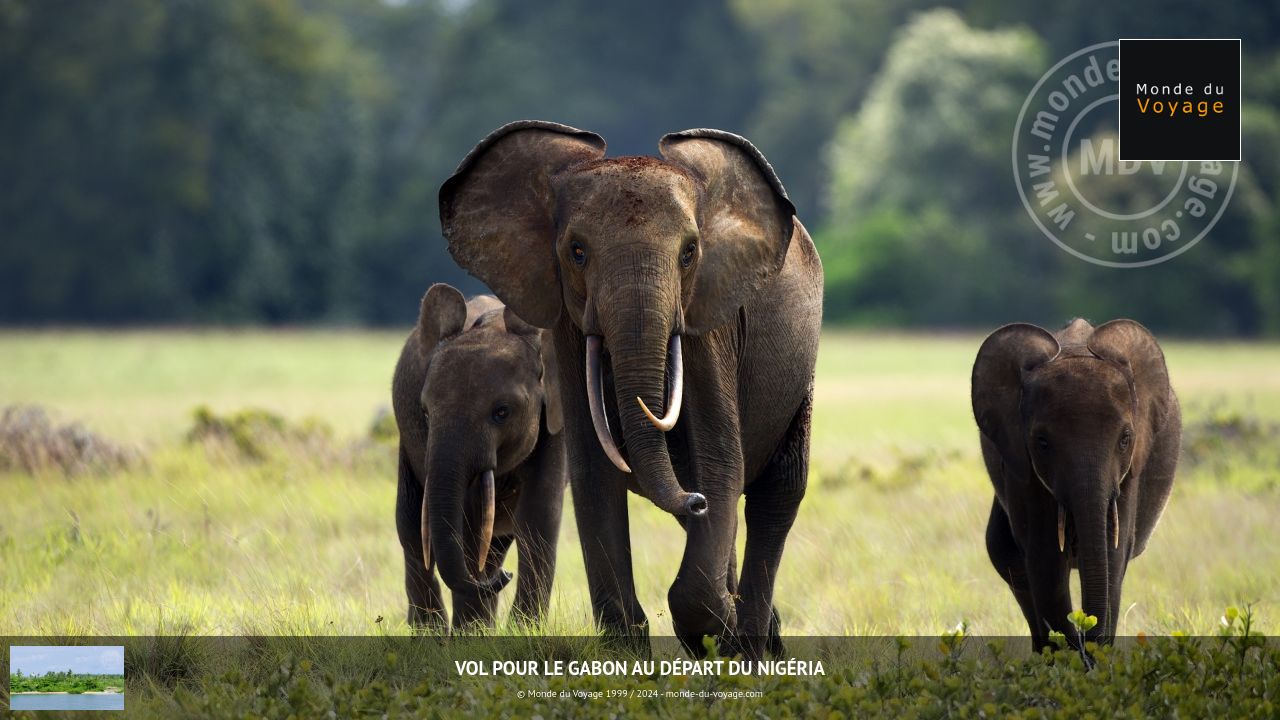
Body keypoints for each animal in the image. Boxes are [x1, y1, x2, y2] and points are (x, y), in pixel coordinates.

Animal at [389, 280, 565, 627]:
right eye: (426, 413)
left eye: (502, 412)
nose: (505, 577)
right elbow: (466, 520)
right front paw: (472, 631)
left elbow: (538, 514)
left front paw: (523, 629)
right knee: (411, 522)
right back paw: (430, 629)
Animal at [437, 119, 819, 655]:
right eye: (577, 252)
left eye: (689, 253)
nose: (695, 500)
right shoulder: (566, 324)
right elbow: (594, 469)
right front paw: (632, 651)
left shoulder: (709, 320)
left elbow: (719, 458)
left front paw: (715, 630)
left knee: (777, 493)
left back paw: (750, 646)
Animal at [972, 316, 1182, 648]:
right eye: (1042, 443)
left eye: (1125, 439)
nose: (1087, 636)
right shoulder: (1023, 468)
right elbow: (1045, 560)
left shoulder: (1130, 473)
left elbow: (1112, 556)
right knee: (1008, 560)